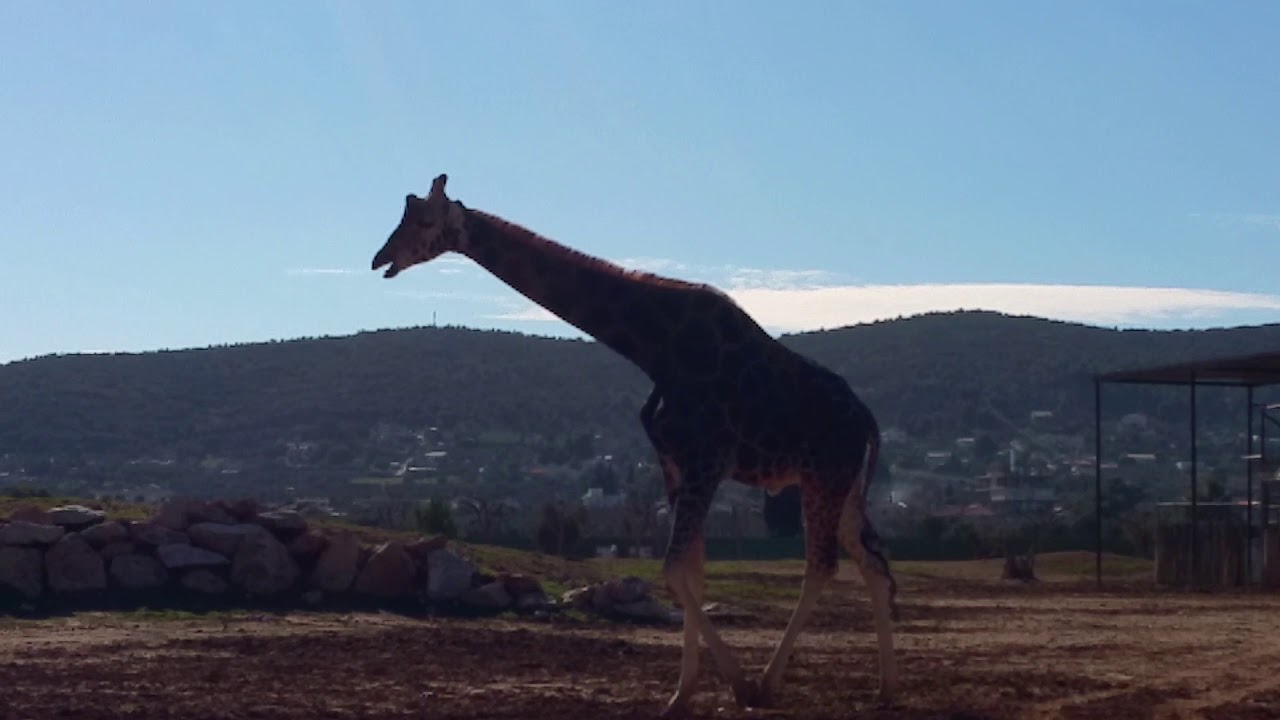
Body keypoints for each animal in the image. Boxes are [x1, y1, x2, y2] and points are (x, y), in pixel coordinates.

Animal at [371, 174, 900, 717]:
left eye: (425, 222)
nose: (379, 259)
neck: (655, 348)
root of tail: (867, 420)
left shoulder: (707, 458)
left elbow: (674, 569)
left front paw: (738, 685)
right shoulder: (675, 462)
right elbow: (692, 571)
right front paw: (681, 694)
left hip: (824, 476)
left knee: (823, 566)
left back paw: (771, 684)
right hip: (842, 485)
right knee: (875, 564)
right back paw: (885, 689)